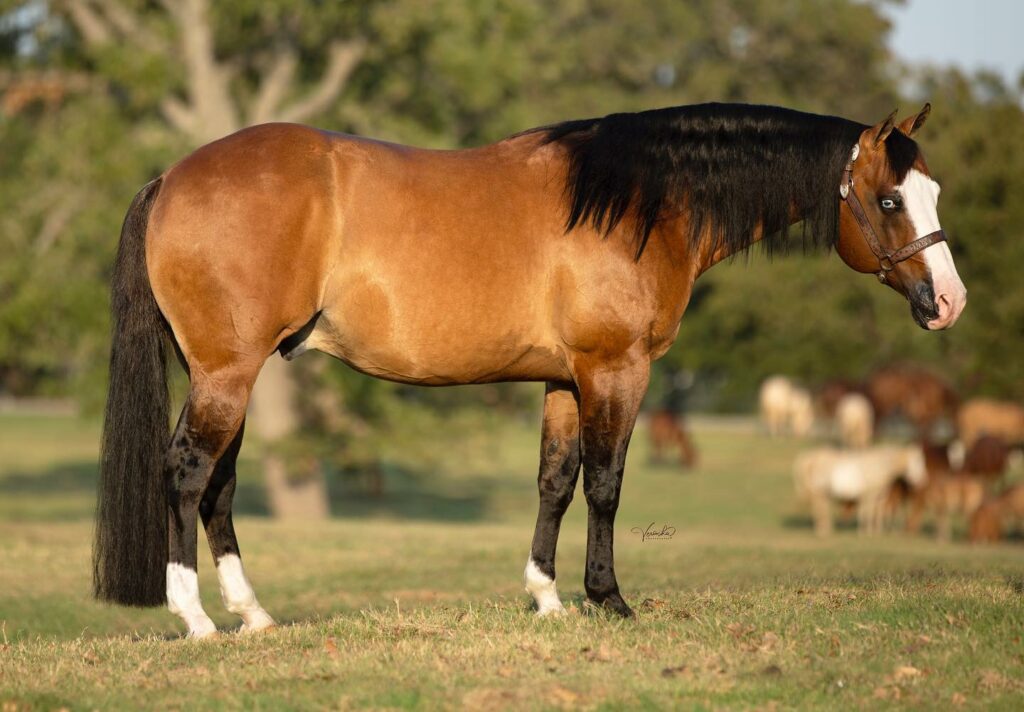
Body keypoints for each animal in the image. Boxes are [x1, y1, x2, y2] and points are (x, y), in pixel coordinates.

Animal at [93, 102, 966, 637]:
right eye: (891, 201)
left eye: (934, 189)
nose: (948, 301)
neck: (639, 201)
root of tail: (172, 177)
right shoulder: (617, 370)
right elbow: (607, 484)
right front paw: (608, 598)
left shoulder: (564, 380)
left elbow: (555, 480)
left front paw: (547, 596)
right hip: (226, 374)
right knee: (186, 473)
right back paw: (197, 620)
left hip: (229, 374)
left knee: (218, 485)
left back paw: (253, 614)